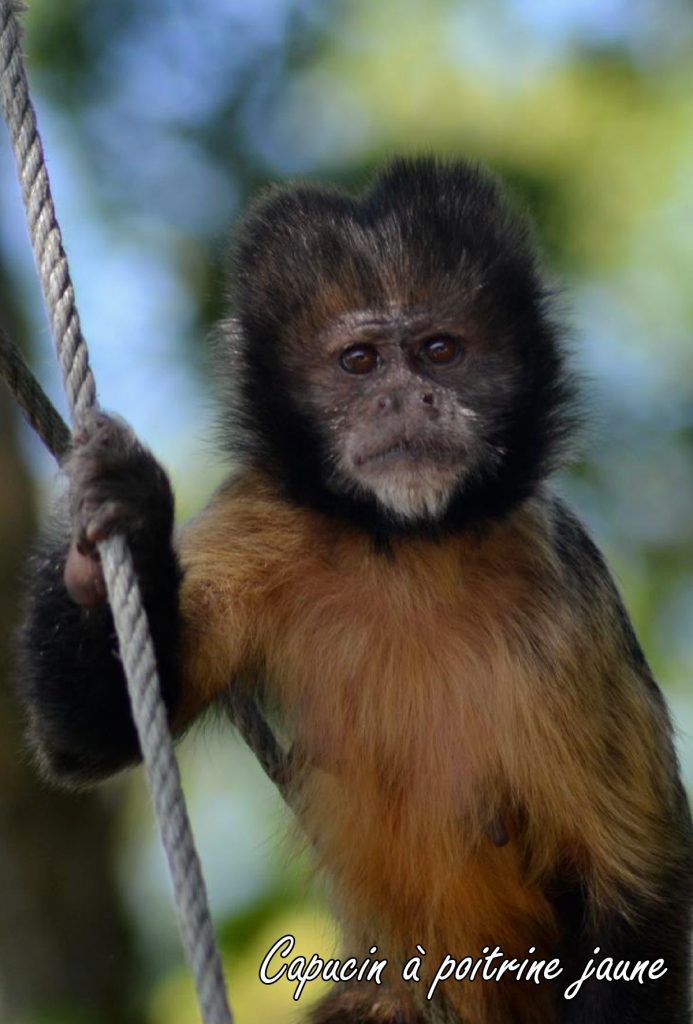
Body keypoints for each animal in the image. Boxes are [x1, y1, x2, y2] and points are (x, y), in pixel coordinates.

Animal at [15, 157, 692, 1024]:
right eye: (360, 362)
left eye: (439, 350)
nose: (405, 399)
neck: (404, 549)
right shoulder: (259, 520)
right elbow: (92, 739)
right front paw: (115, 539)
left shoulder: (568, 601)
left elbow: (637, 887)